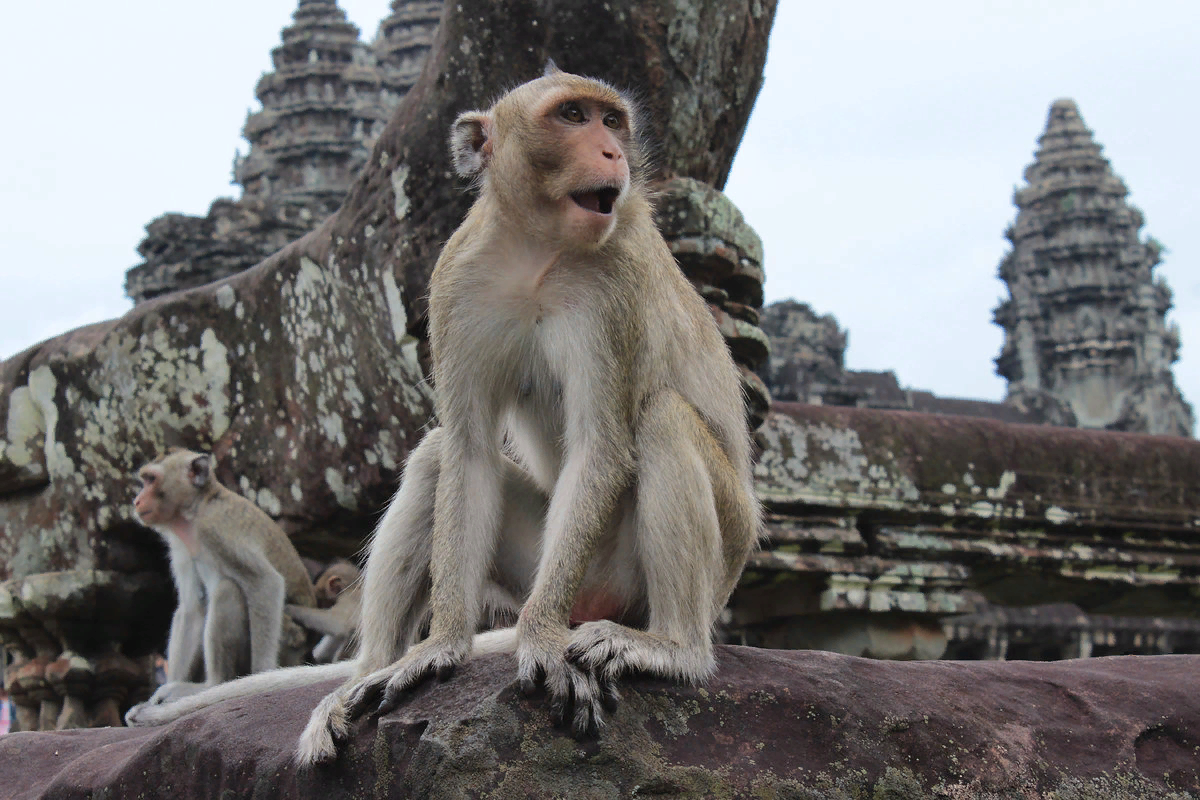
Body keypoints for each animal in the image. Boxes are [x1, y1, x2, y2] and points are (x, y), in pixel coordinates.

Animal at [124, 450, 316, 719]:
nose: (137, 500)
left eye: (151, 480)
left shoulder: (216, 529)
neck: (196, 511)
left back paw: (212, 685)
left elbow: (266, 583)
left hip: (290, 640)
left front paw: (262, 674)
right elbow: (192, 609)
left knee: (228, 590)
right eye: (144, 480)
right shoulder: (180, 546)